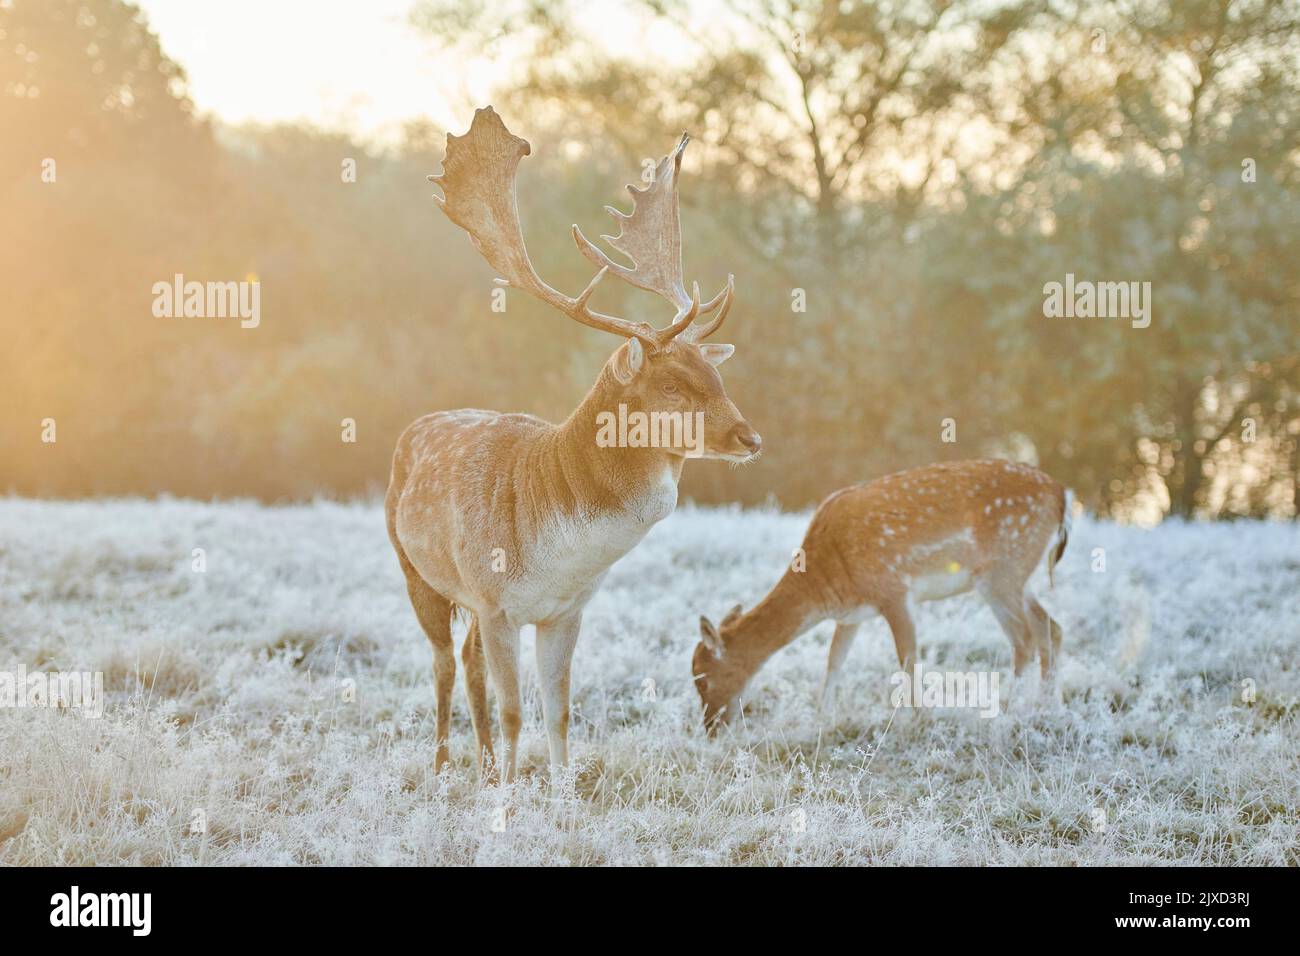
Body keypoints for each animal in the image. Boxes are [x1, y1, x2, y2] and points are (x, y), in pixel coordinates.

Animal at [387, 107, 761, 782]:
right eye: (671, 382)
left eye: (717, 375)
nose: (750, 436)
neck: (555, 553)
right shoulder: (495, 600)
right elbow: (517, 712)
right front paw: (510, 798)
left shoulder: (566, 609)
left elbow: (559, 711)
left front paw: (559, 793)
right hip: (414, 567)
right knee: (443, 660)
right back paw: (444, 764)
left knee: (468, 658)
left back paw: (482, 762)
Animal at [692, 459, 1070, 731]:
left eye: (703, 680)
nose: (711, 728)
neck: (825, 582)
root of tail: (1060, 496)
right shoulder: (852, 615)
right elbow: (834, 660)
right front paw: (822, 717)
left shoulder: (895, 589)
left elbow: (907, 659)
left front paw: (920, 719)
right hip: (1021, 575)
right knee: (1050, 627)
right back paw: (1045, 707)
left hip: (1001, 571)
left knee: (1024, 639)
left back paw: (1006, 710)